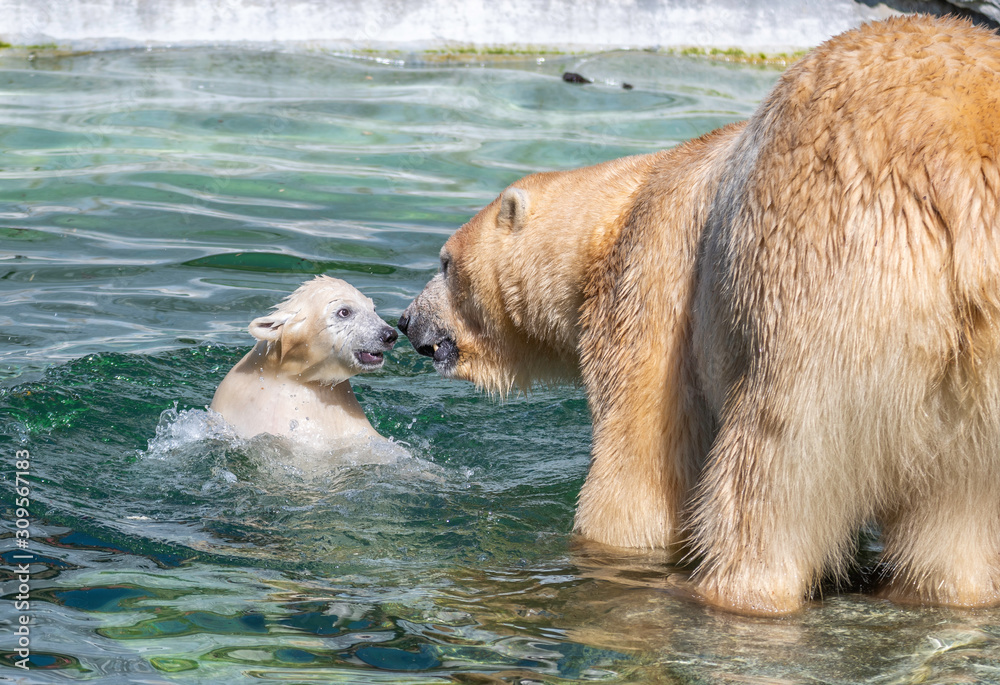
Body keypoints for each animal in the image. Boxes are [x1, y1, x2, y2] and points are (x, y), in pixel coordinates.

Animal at [398, 15, 1000, 615]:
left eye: (445, 263)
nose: (407, 322)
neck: (623, 207)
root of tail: (964, 185)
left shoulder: (651, 289)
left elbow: (642, 469)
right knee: (960, 516)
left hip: (822, 292)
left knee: (772, 469)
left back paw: (724, 587)